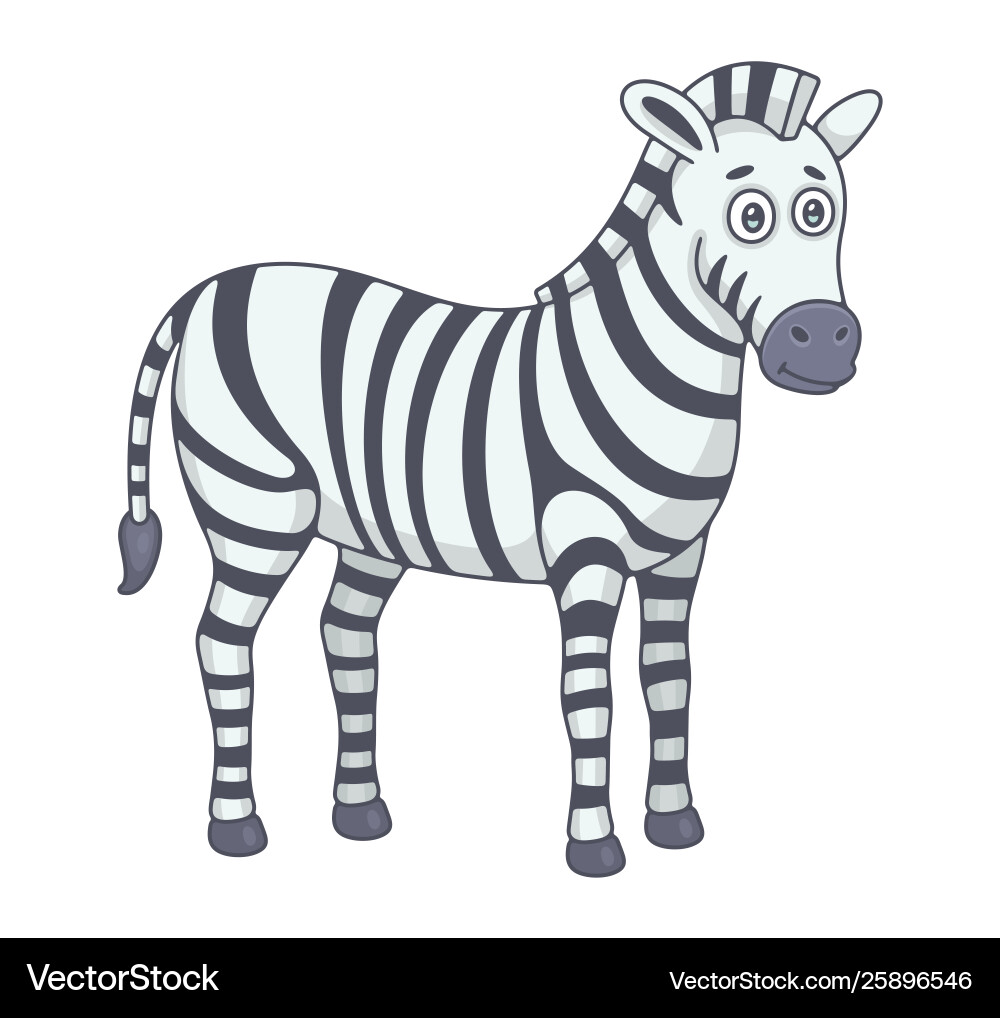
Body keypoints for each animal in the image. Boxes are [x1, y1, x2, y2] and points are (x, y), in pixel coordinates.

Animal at [117, 61, 881, 877]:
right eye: (751, 216)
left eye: (821, 210)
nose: (824, 342)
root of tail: (211, 289)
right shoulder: (586, 550)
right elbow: (589, 695)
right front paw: (595, 843)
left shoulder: (681, 555)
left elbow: (669, 681)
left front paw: (674, 822)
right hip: (254, 509)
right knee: (222, 642)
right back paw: (236, 825)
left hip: (367, 532)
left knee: (345, 634)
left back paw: (360, 812)